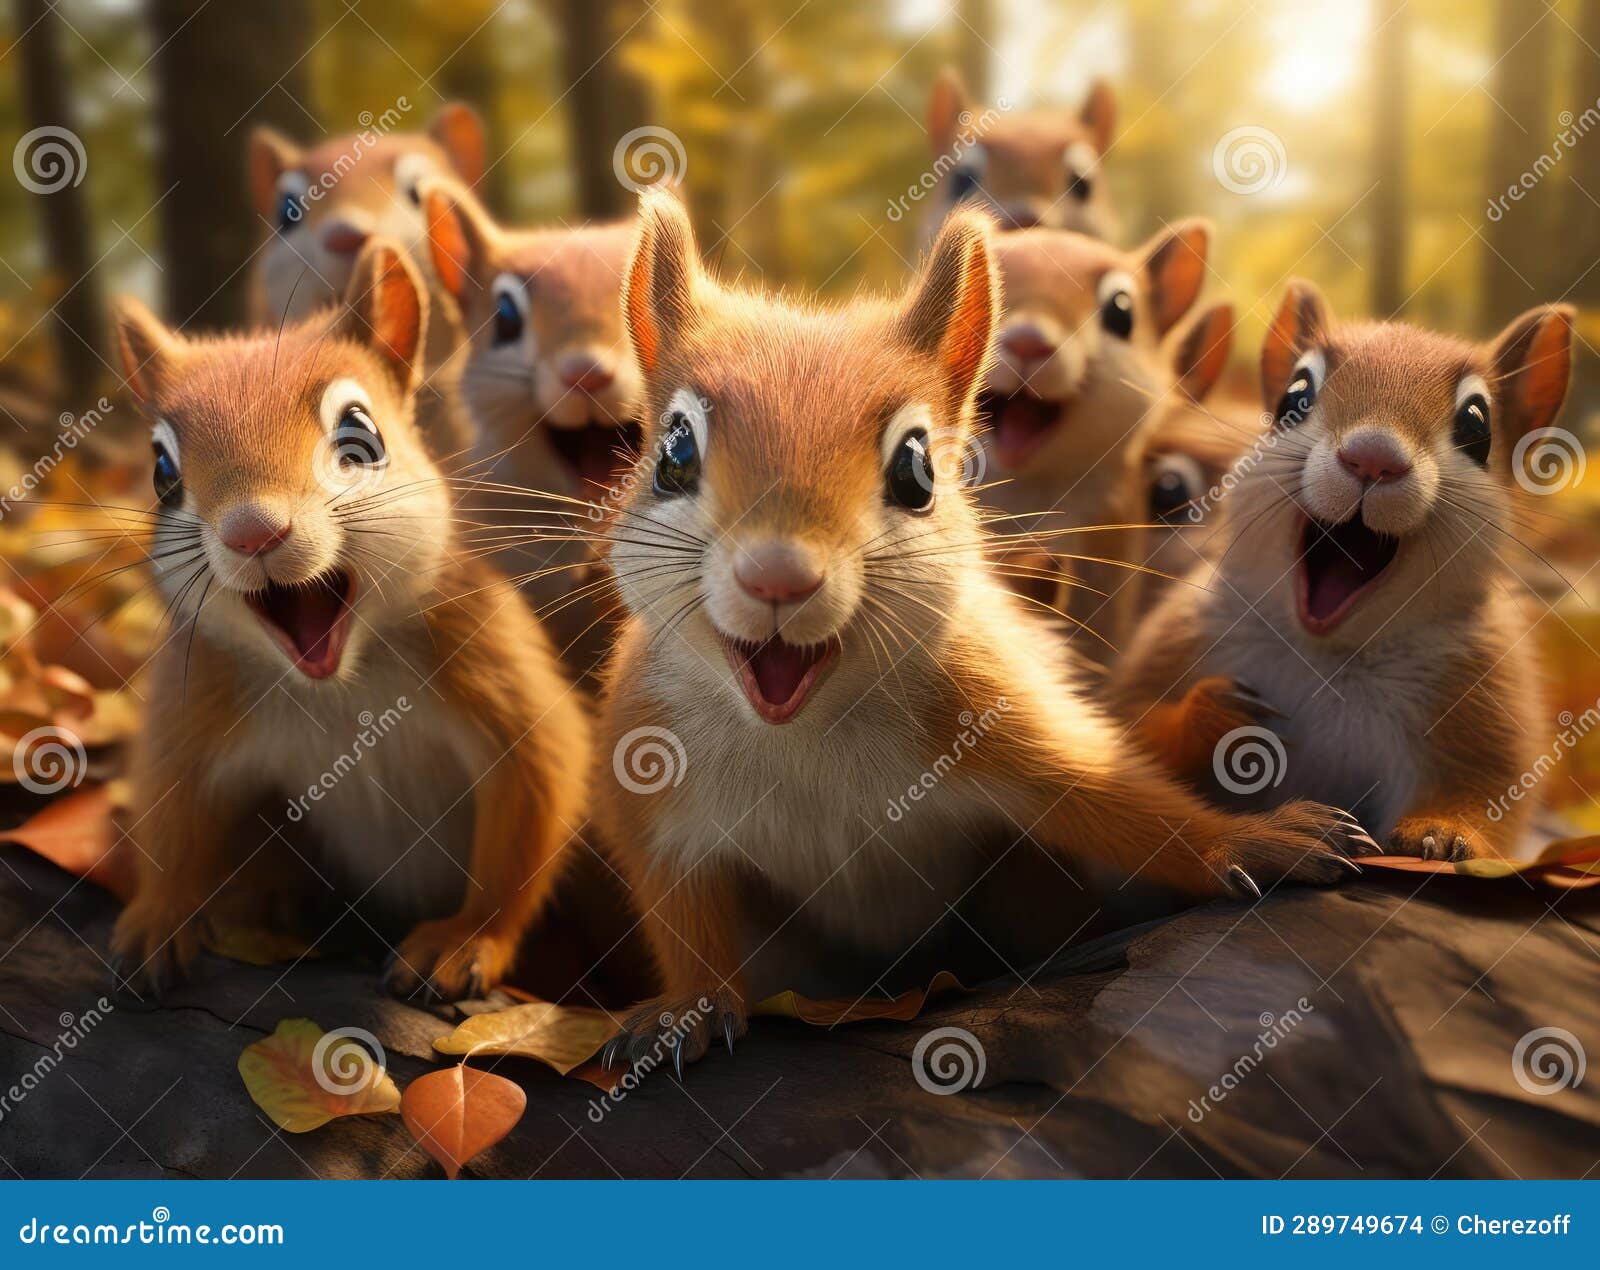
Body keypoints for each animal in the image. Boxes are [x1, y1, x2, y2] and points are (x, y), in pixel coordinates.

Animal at [106, 238, 589, 999]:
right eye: (162, 472)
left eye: (361, 436)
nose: (253, 532)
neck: (337, 686)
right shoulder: (195, 710)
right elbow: (172, 820)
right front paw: (159, 916)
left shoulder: (493, 668)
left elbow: (536, 793)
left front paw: (465, 938)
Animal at [1105, 280, 1570, 861]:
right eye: (1295, 397)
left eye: (1476, 424)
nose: (1373, 458)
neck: (1333, 655)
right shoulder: (1181, 634)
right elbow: (1134, 726)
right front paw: (1212, 713)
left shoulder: (1485, 695)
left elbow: (1485, 788)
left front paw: (1444, 831)